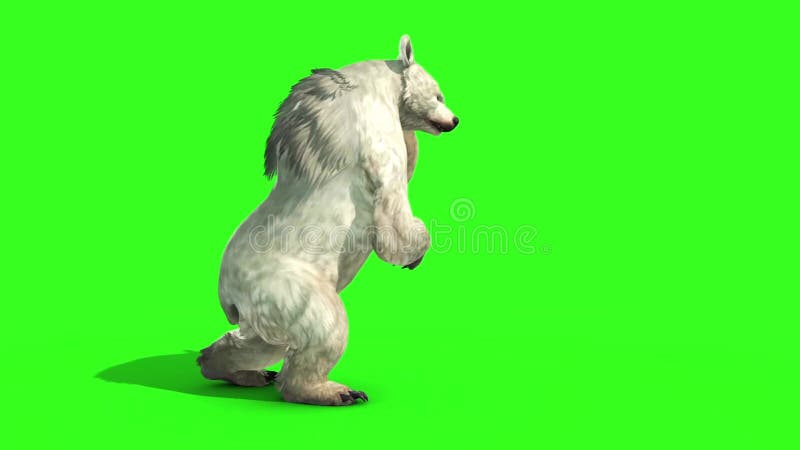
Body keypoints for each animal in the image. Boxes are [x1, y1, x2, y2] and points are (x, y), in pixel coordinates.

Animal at [198, 35, 458, 406]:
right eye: (439, 95)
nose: (455, 120)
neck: (379, 85)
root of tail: (228, 294)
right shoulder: (375, 130)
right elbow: (391, 203)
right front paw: (414, 252)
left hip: (266, 305)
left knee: (264, 341)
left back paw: (239, 370)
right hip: (289, 286)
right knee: (324, 326)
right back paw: (335, 391)